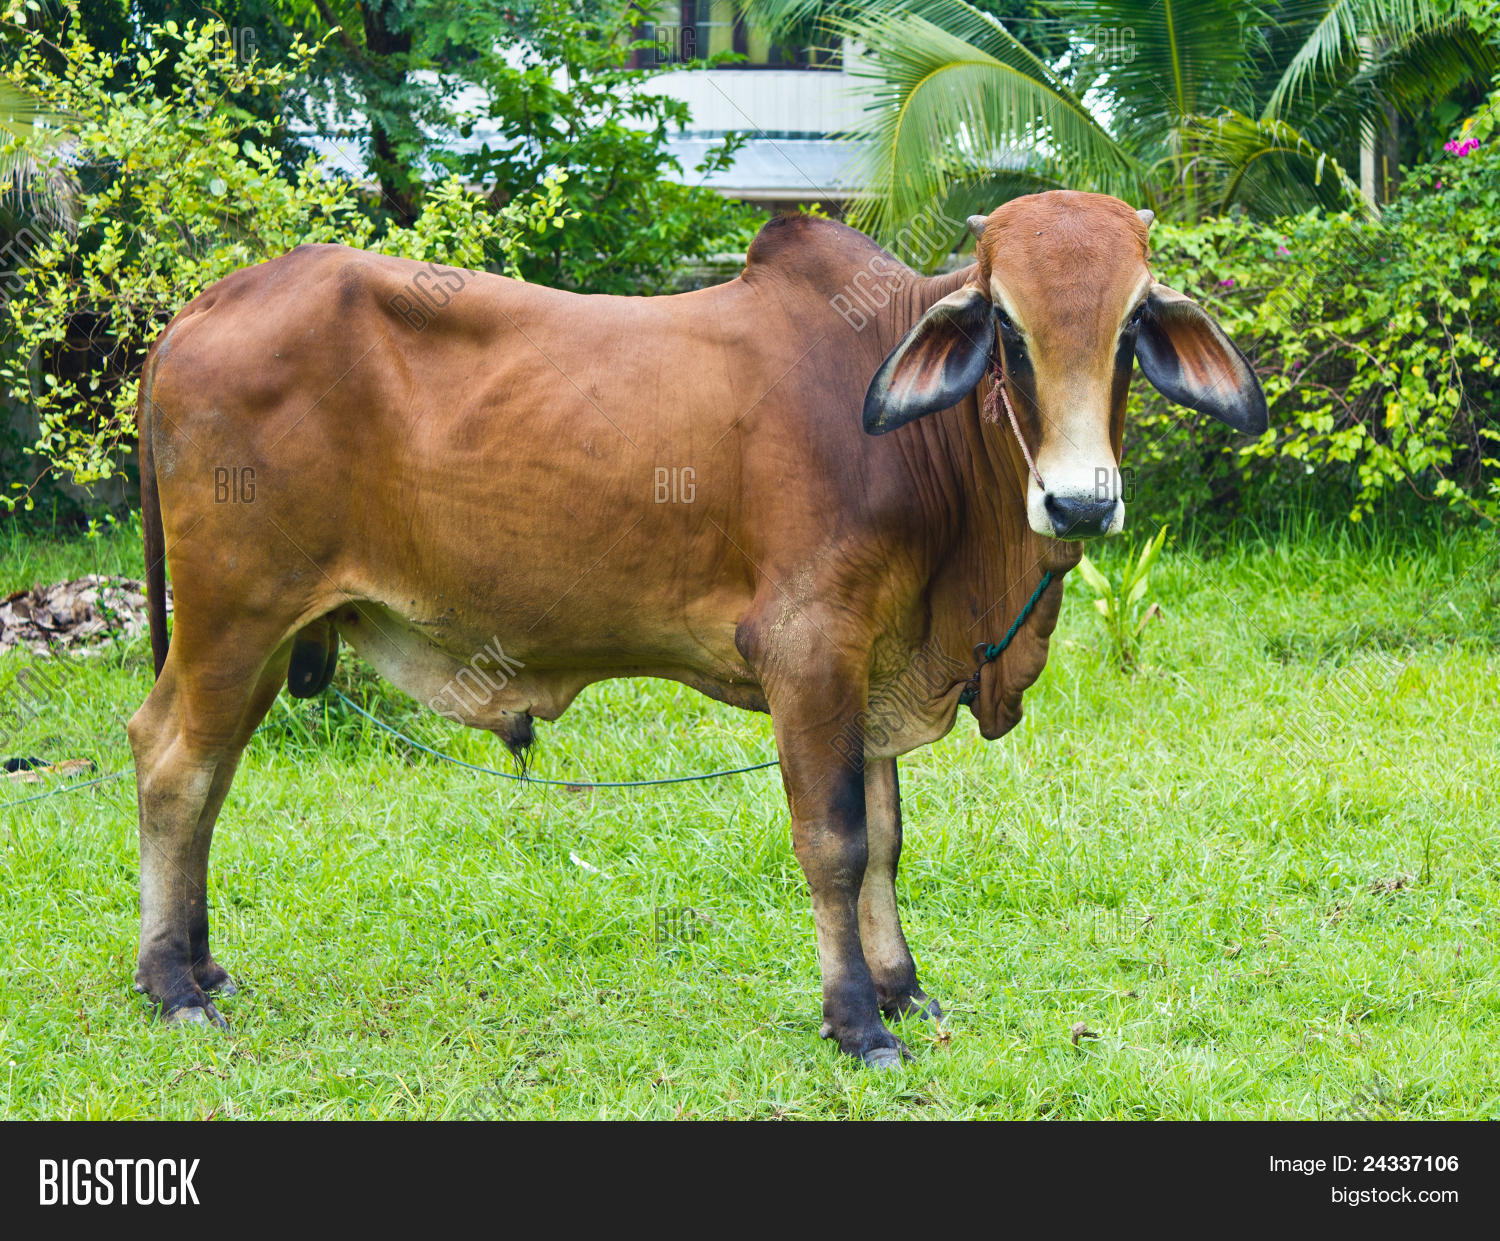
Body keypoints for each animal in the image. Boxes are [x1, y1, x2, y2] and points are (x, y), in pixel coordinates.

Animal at [128, 190, 1266, 1067]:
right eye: (1008, 328)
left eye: (1131, 326)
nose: (1078, 503)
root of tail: (199, 308)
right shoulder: (810, 648)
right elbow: (837, 841)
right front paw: (857, 1022)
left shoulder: (875, 660)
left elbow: (890, 837)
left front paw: (902, 986)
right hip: (236, 613)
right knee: (173, 761)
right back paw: (170, 984)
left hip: (264, 634)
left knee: (211, 773)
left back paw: (202, 962)